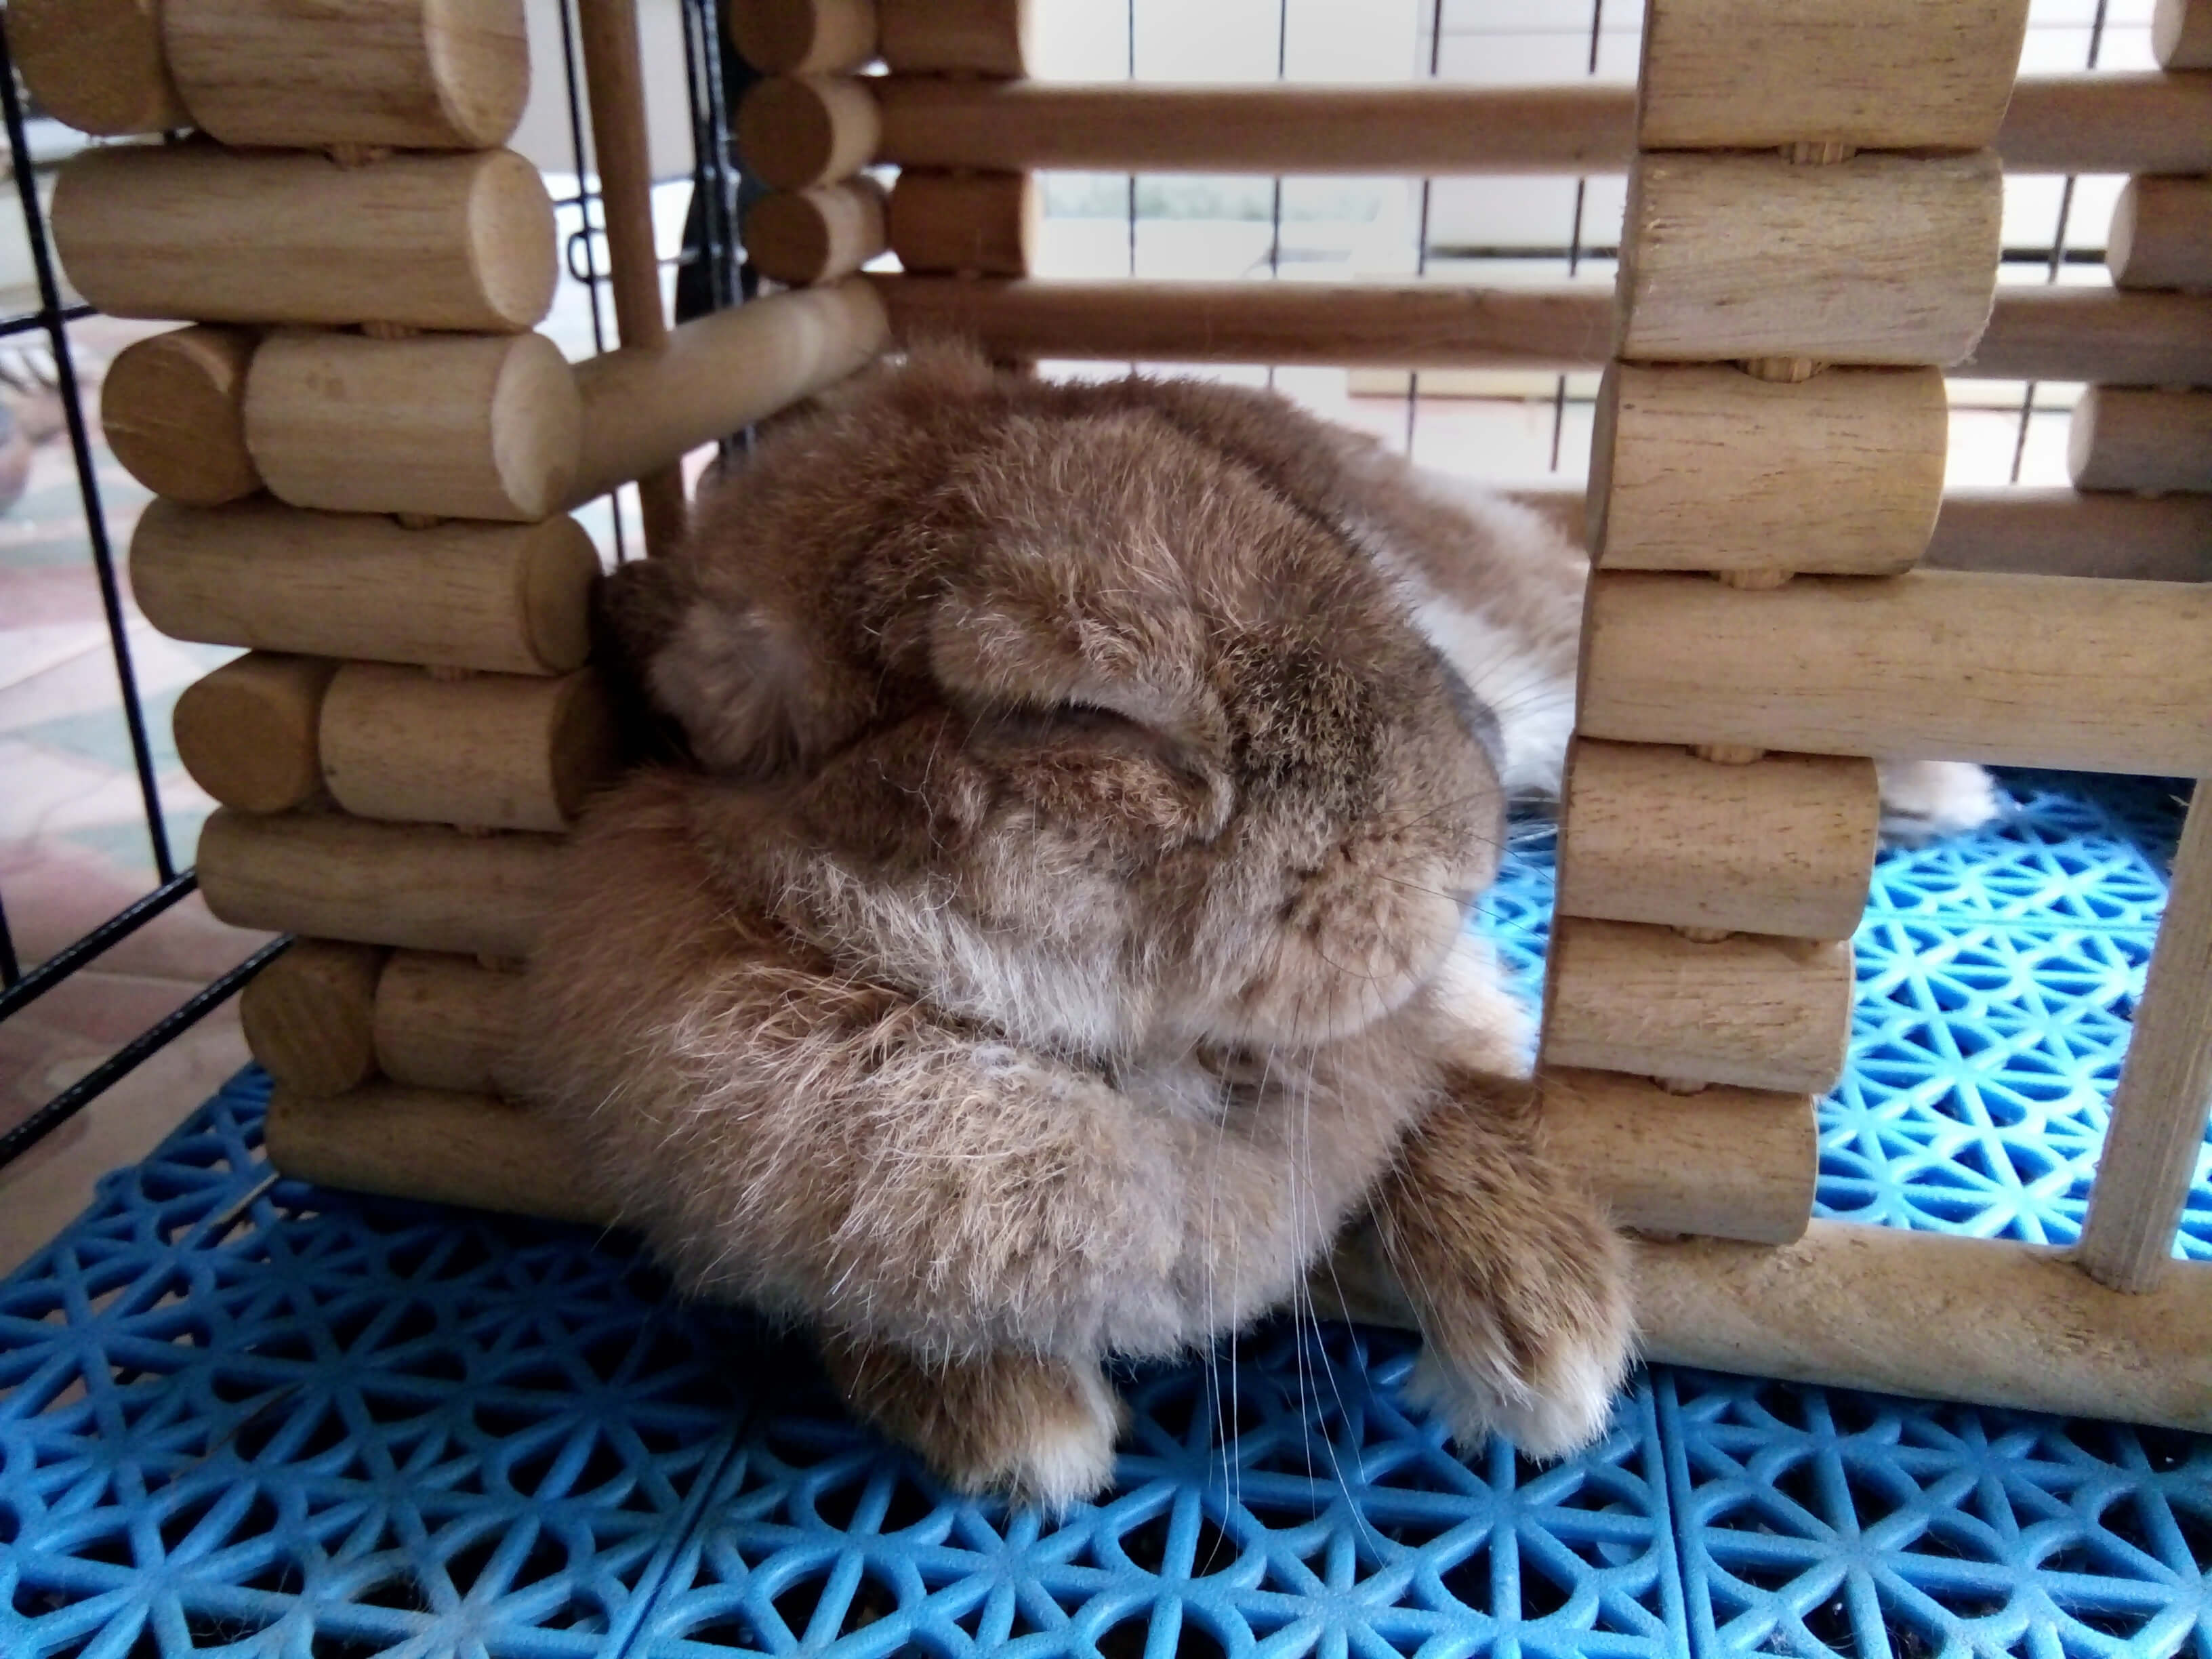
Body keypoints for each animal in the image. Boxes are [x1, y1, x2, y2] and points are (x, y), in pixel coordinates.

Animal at [511, 343, 1997, 1510]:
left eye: (1326, 545)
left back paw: (1943, 785)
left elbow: (1435, 1071)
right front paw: (1021, 1436)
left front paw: (1546, 1331)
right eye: (1078, 713)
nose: (1464, 802)